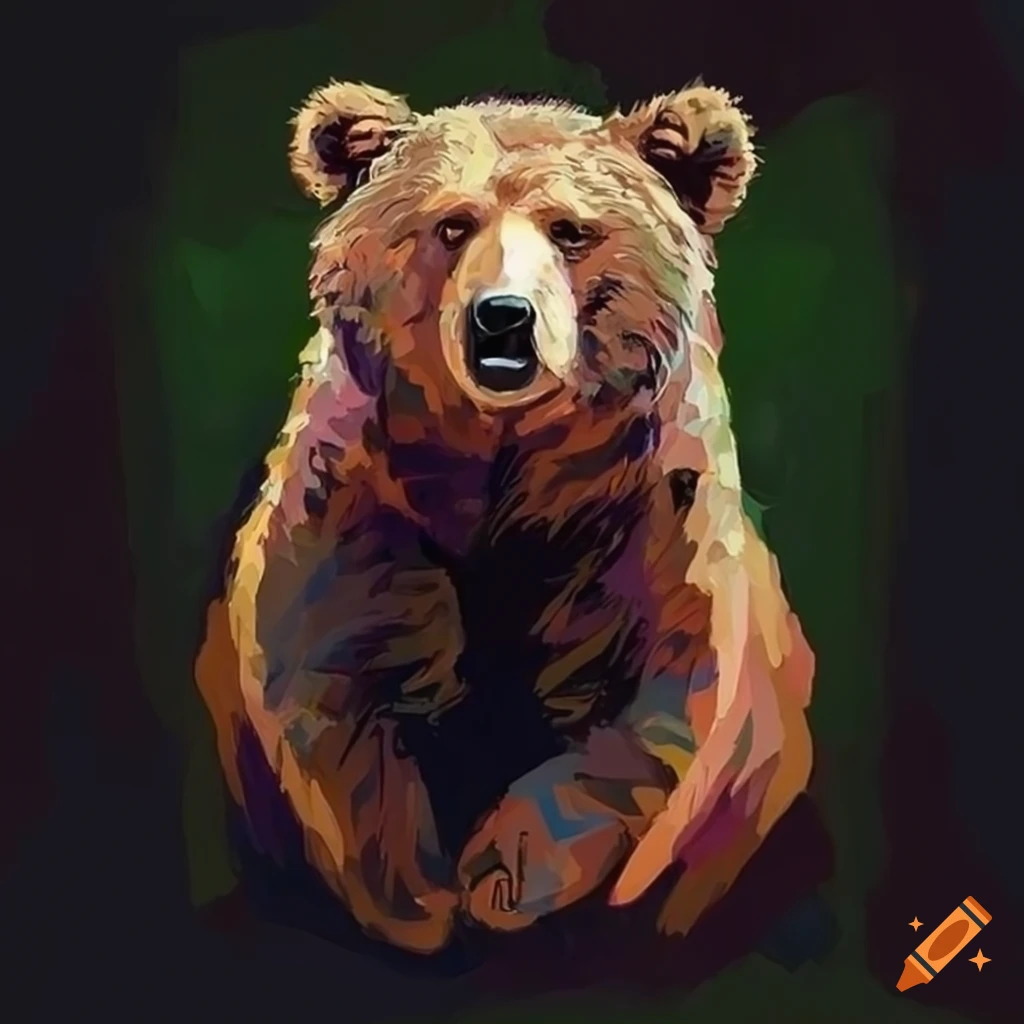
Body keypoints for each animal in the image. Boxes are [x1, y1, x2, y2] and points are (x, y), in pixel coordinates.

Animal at [195, 79, 816, 958]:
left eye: (570, 228)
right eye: (453, 223)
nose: (503, 318)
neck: (503, 466)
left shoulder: (643, 529)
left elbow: (654, 711)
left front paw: (504, 878)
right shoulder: (359, 514)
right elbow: (328, 691)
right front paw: (418, 899)